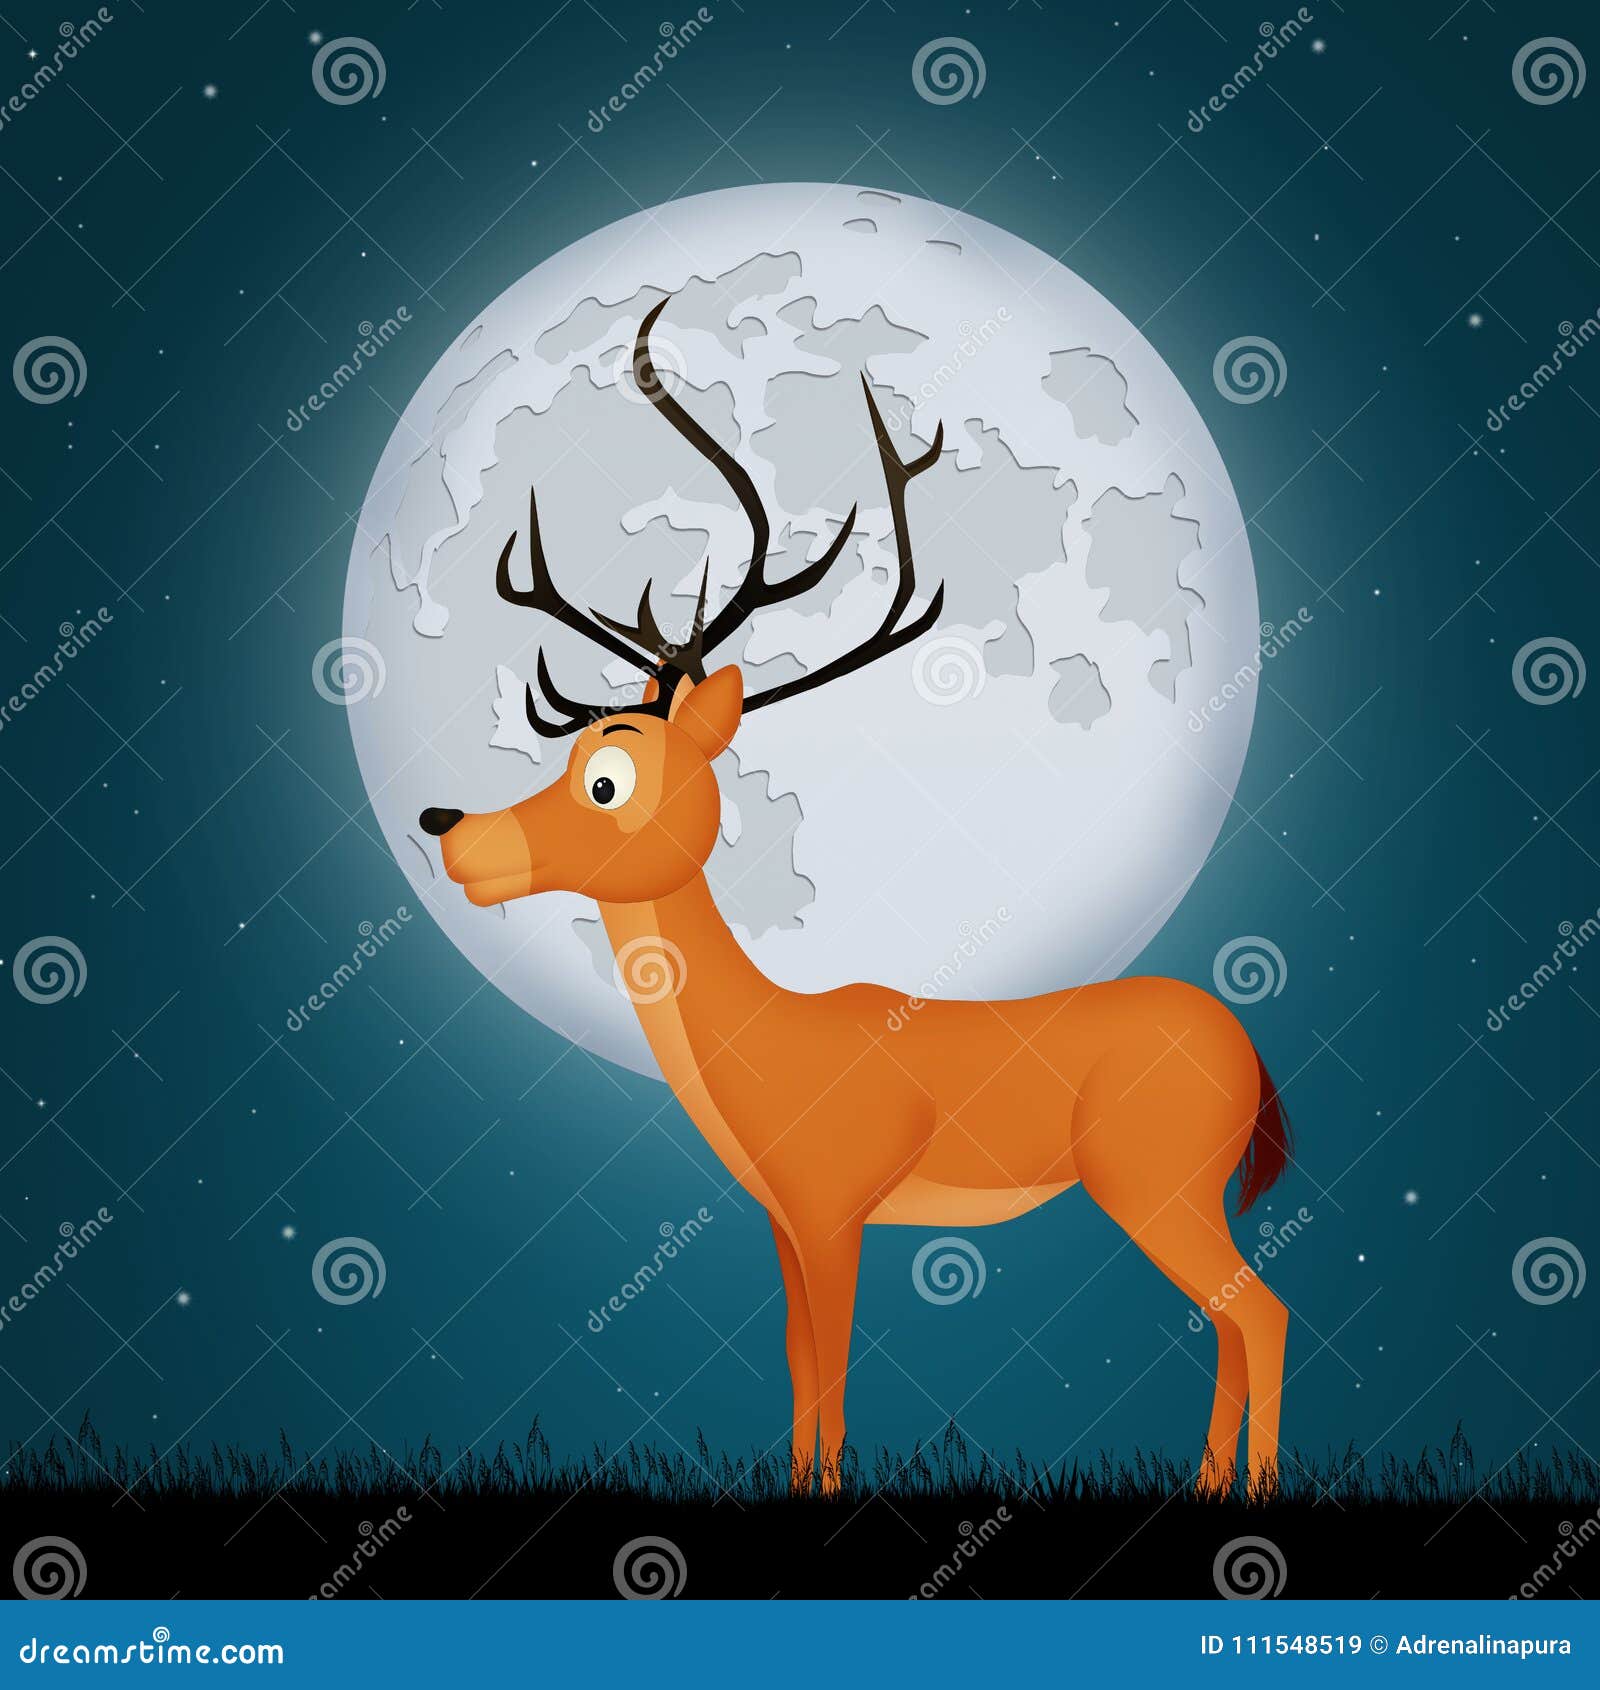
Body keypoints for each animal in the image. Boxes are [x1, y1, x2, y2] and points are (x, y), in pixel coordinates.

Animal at [419, 297, 1293, 1497]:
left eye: (609, 776)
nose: (446, 828)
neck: (769, 1044)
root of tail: (1247, 1050)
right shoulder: (786, 1223)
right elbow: (797, 1359)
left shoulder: (837, 1213)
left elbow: (832, 1359)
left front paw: (825, 1497)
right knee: (1232, 1322)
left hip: (1156, 1186)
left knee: (1262, 1312)